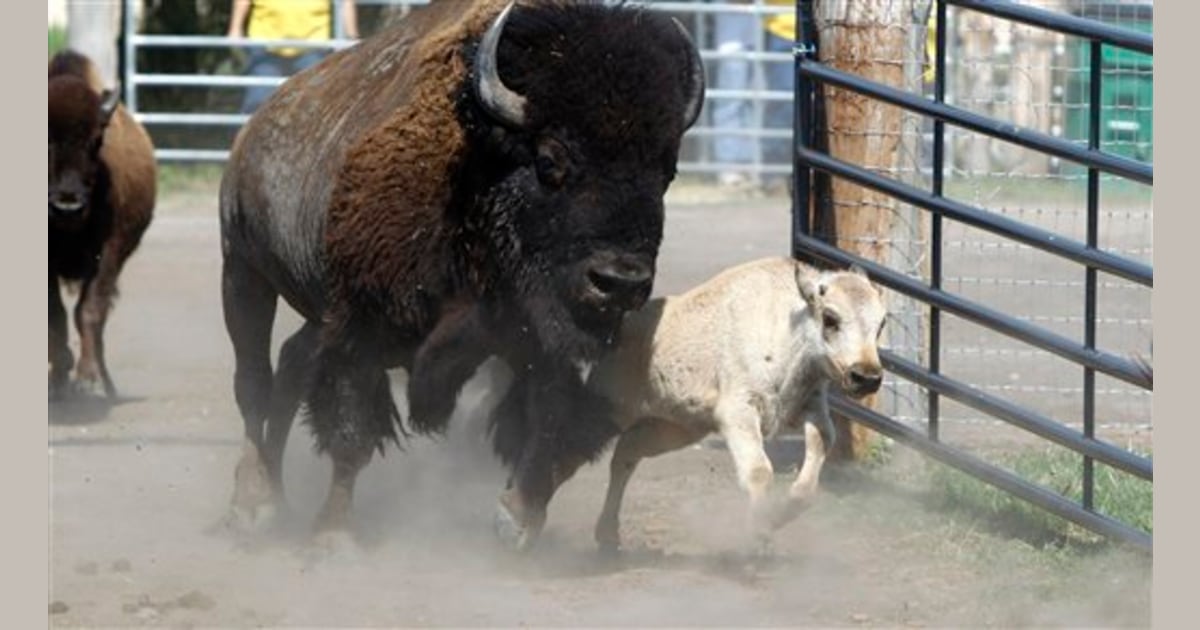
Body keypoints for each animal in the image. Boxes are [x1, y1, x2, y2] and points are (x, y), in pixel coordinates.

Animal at [49, 50, 156, 400]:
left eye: (96, 141)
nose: (67, 205)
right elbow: (55, 315)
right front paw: (60, 374)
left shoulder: (109, 252)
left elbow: (89, 310)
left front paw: (90, 378)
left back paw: (105, 382)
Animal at [219, 0, 704, 550]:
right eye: (549, 159)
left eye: (666, 171)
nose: (619, 281)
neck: (476, 175)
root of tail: (254, 129)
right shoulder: (359, 327)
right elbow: (351, 431)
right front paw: (335, 535)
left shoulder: (536, 339)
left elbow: (549, 417)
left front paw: (517, 518)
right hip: (243, 273)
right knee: (254, 382)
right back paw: (252, 506)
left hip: (314, 310)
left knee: (290, 366)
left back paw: (277, 501)